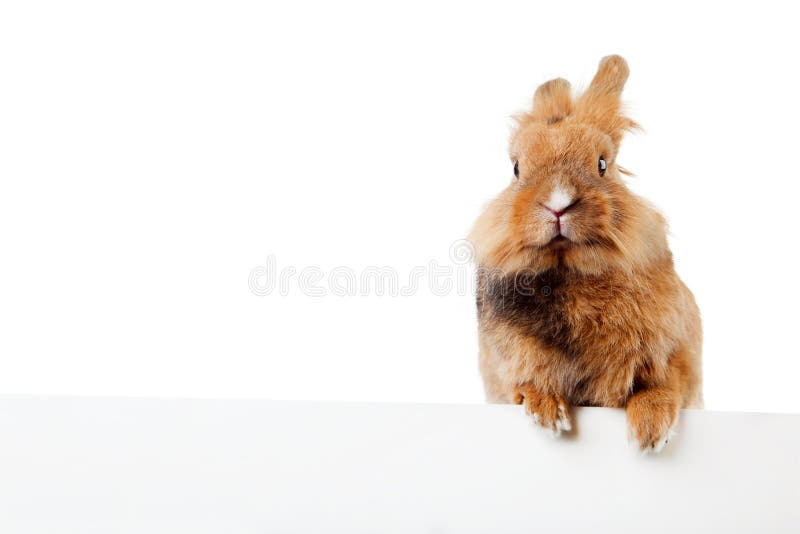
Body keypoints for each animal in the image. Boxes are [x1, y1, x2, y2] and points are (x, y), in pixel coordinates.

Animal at [470, 55, 702, 453]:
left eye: (602, 164)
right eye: (516, 168)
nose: (558, 203)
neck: (571, 274)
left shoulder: (678, 354)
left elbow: (663, 384)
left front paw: (649, 433)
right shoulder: (505, 370)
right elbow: (524, 385)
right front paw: (548, 412)